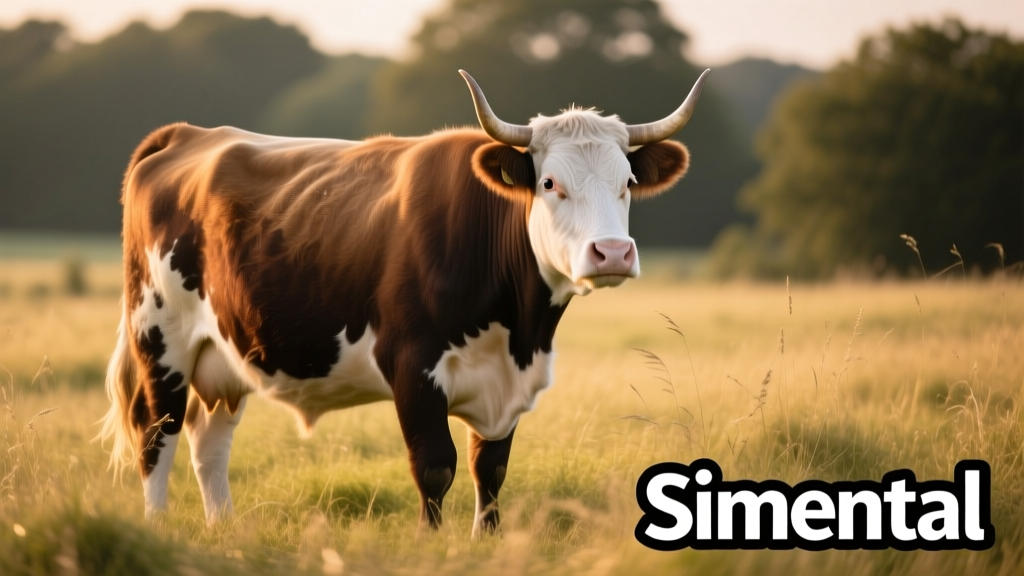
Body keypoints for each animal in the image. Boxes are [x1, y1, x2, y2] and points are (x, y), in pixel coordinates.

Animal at [99, 68, 709, 536]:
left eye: (627, 182)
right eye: (550, 183)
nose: (612, 253)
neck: (519, 329)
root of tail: (187, 135)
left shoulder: (507, 386)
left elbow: (490, 469)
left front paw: (487, 541)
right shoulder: (413, 365)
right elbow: (435, 466)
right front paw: (431, 542)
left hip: (226, 354)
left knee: (209, 442)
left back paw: (222, 529)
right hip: (160, 339)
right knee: (156, 434)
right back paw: (157, 528)